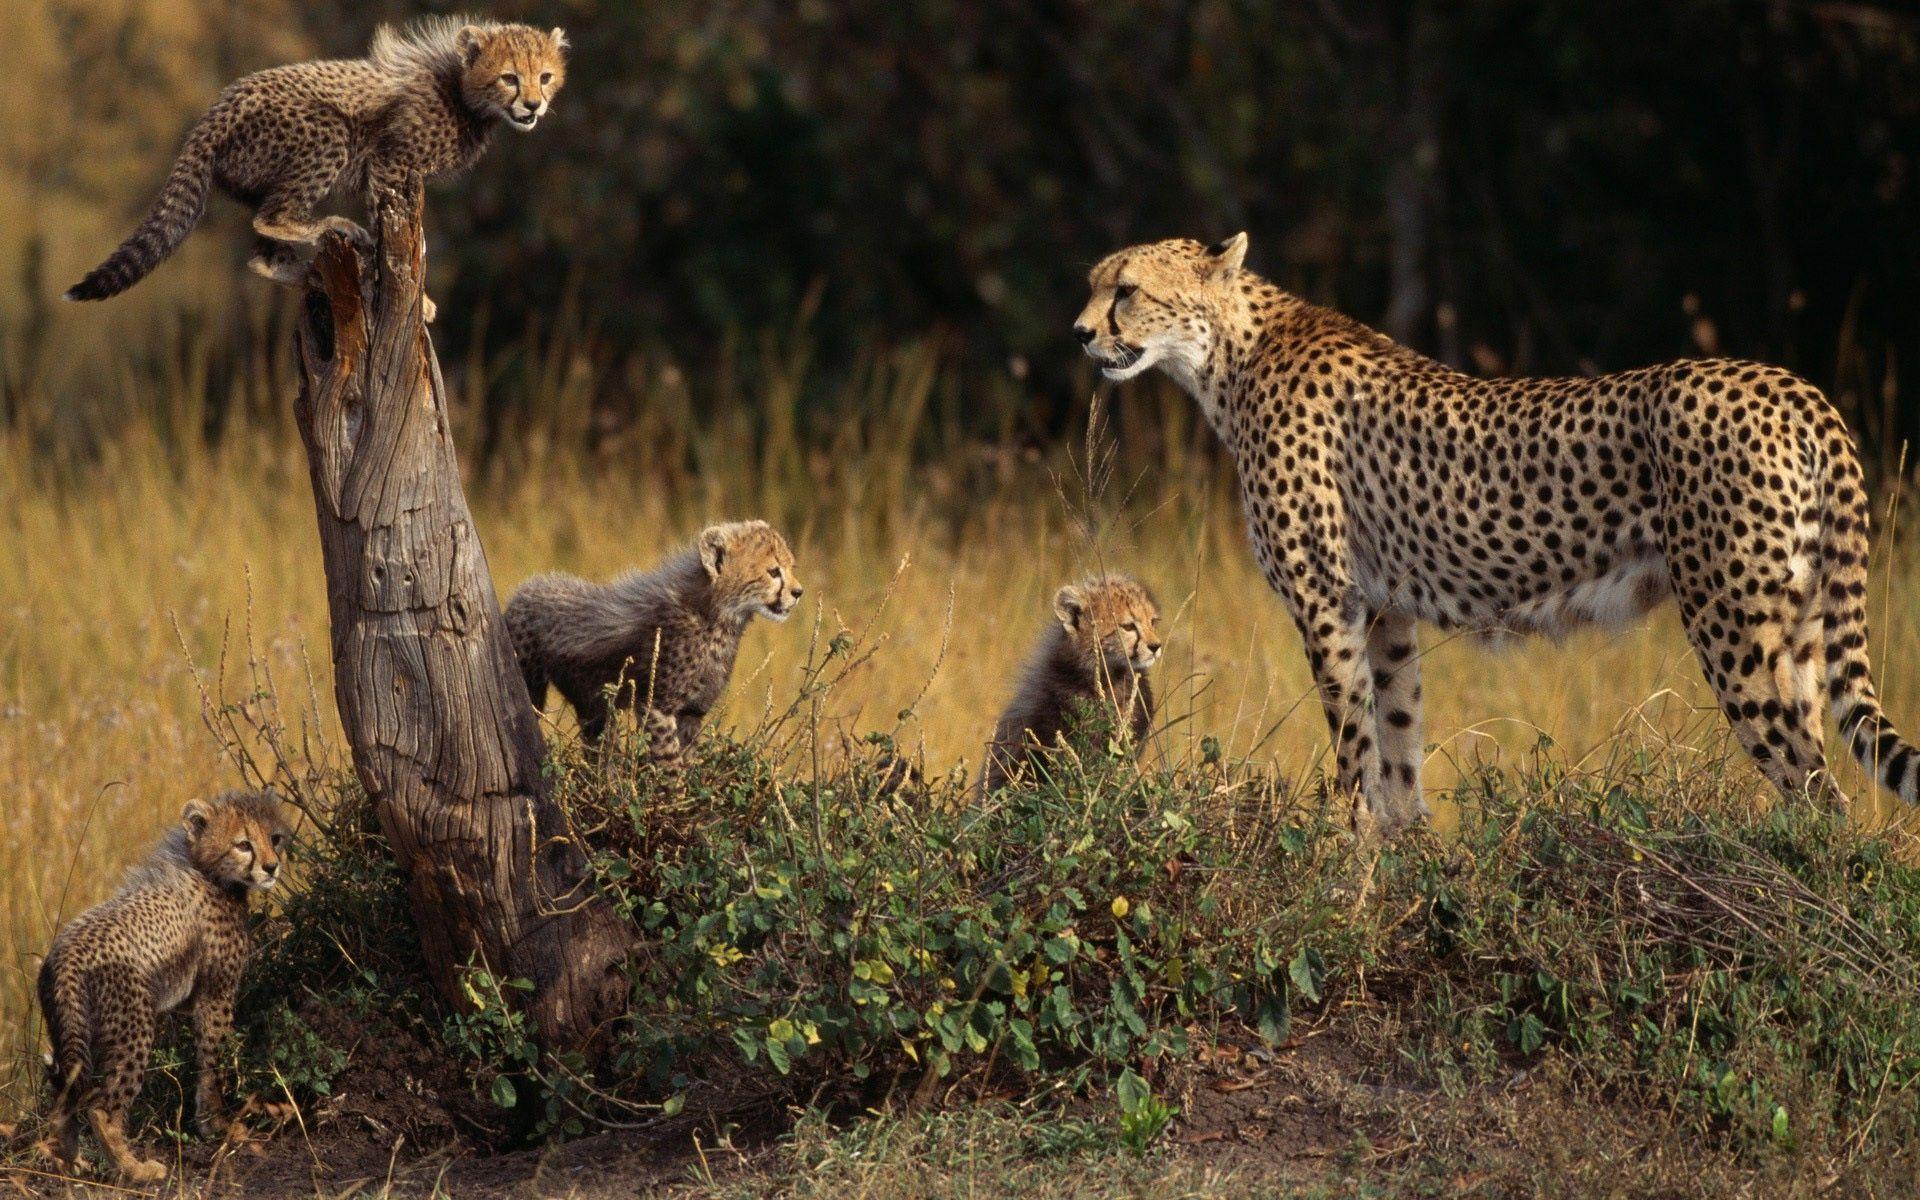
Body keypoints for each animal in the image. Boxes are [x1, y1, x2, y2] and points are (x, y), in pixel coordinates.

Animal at [35, 789, 291, 1183]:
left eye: (274, 838)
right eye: (243, 844)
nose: (272, 867)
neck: (209, 872)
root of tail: (64, 956)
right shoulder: (215, 997)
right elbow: (212, 1061)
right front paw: (218, 1125)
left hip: (70, 1028)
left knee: (64, 1094)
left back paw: (71, 1160)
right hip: (132, 1029)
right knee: (101, 1107)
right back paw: (135, 1169)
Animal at [63, 16, 568, 318]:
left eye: (545, 77)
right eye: (509, 78)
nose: (533, 105)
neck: (460, 91)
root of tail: (215, 109)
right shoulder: (390, 162)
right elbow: (386, 229)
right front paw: (415, 296)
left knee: (259, 254)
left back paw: (306, 274)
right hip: (329, 132)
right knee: (272, 218)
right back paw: (333, 228)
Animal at [505, 520, 804, 758]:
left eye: (791, 568)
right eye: (773, 571)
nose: (799, 592)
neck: (718, 615)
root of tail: (527, 586)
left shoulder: (691, 712)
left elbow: (689, 761)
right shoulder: (657, 707)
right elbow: (669, 762)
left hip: (592, 705)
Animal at [1075, 233, 1917, 833]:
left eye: (1128, 291)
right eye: (1094, 284)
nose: (1081, 334)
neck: (1229, 356)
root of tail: (1794, 386)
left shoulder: (1327, 604)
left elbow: (1353, 747)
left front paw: (1344, 863)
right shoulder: (1385, 615)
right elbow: (1397, 744)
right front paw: (1404, 861)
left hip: (1731, 626)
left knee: (1817, 789)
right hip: (1797, 628)